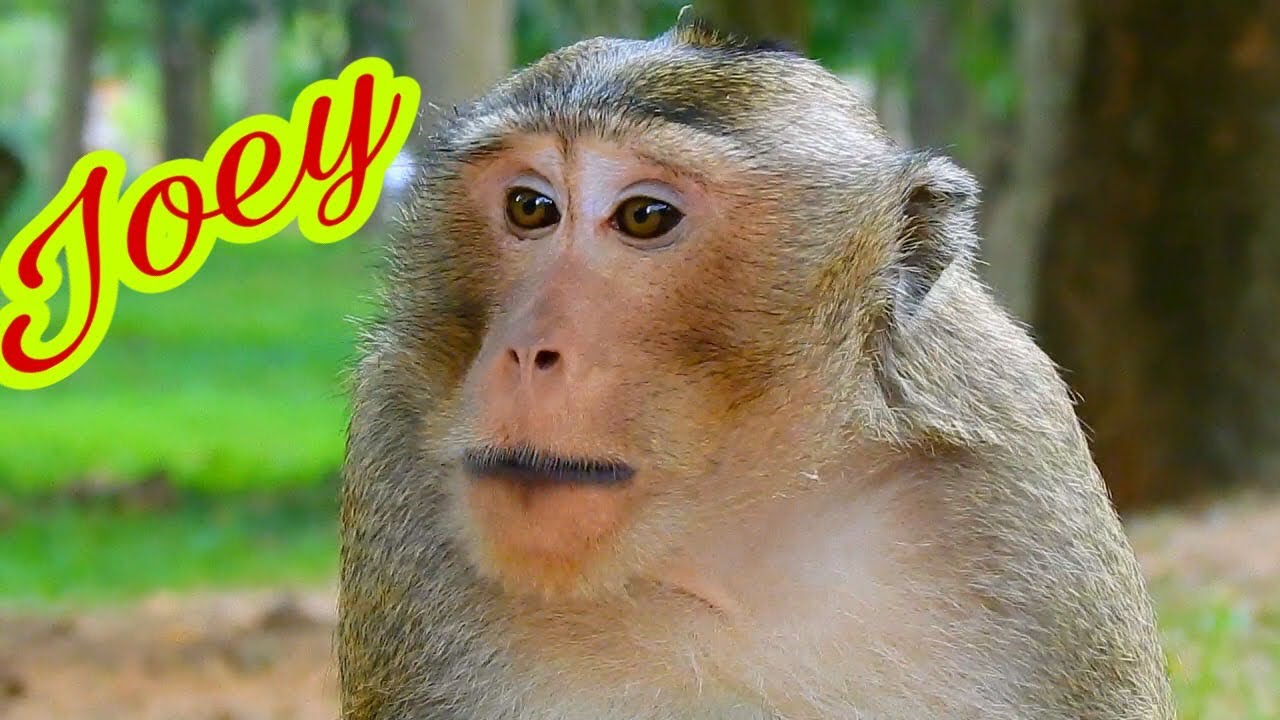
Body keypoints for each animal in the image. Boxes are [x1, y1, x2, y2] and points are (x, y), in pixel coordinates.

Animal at [338, 19, 1175, 720]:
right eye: (530, 207)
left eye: (644, 216)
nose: (528, 349)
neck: (731, 554)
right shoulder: (393, 447)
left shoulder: (1027, 488)